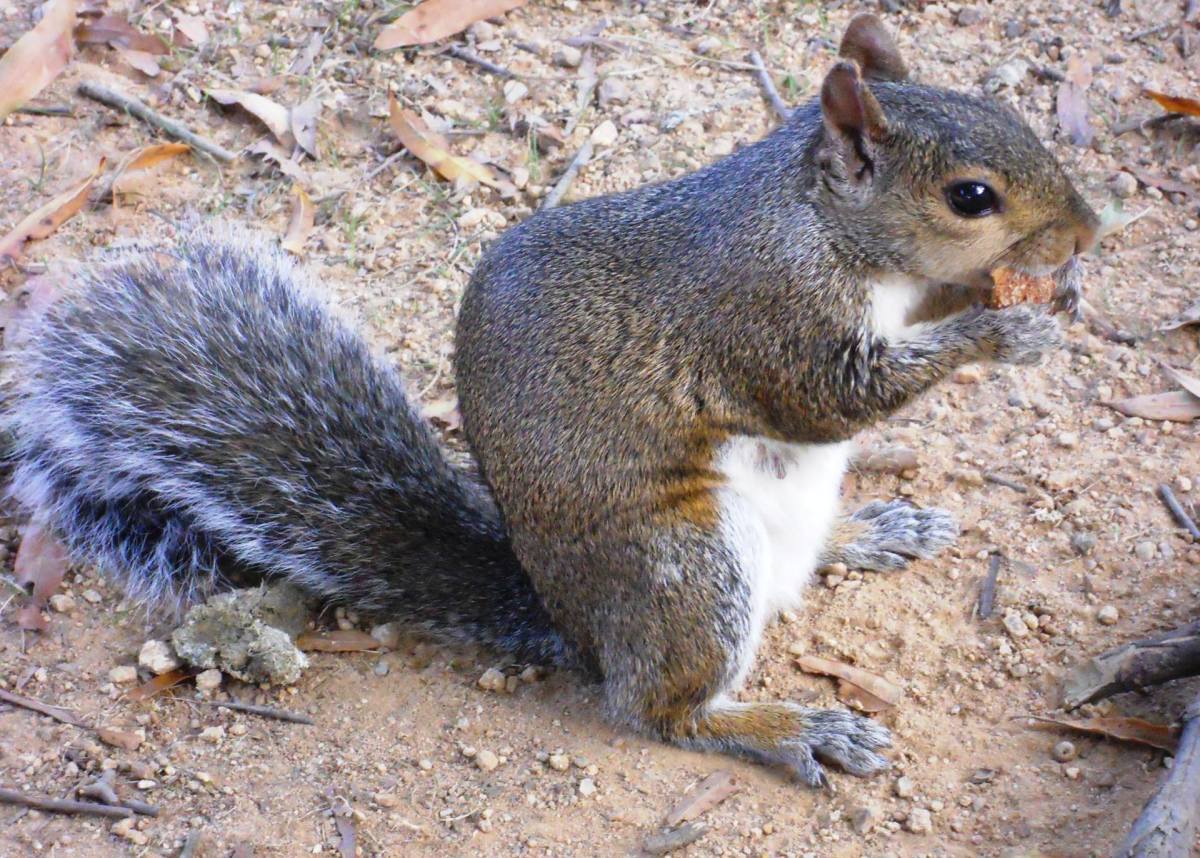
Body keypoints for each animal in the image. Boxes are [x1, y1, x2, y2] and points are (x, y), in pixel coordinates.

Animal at [3, 15, 1097, 786]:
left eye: (1016, 119)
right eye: (970, 196)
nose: (1087, 231)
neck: (825, 224)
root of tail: (570, 621)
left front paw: (1051, 297)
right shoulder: (764, 316)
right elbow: (829, 399)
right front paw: (1003, 333)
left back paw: (872, 532)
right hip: (684, 564)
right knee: (659, 710)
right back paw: (791, 725)